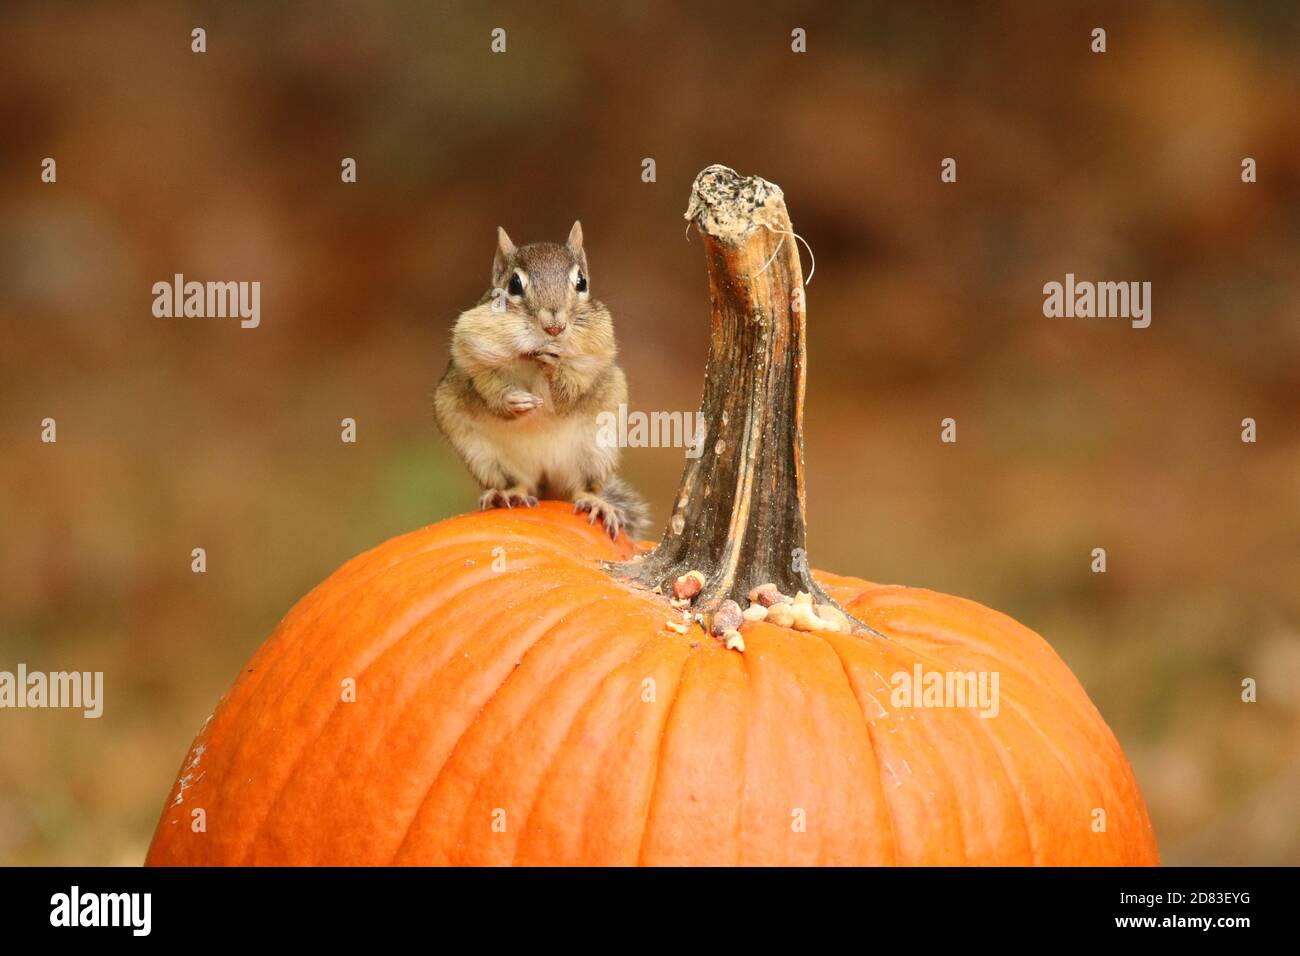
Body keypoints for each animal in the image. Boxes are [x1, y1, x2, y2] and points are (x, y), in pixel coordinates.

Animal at [434, 221, 649, 541]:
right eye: (514, 284)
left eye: (582, 282)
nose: (554, 327)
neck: (532, 360)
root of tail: (548, 489)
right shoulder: (469, 349)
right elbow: (486, 384)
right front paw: (514, 401)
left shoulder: (597, 351)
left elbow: (570, 390)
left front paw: (556, 369)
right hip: (485, 455)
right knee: (519, 483)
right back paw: (508, 494)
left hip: (595, 451)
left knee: (581, 488)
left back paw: (596, 504)